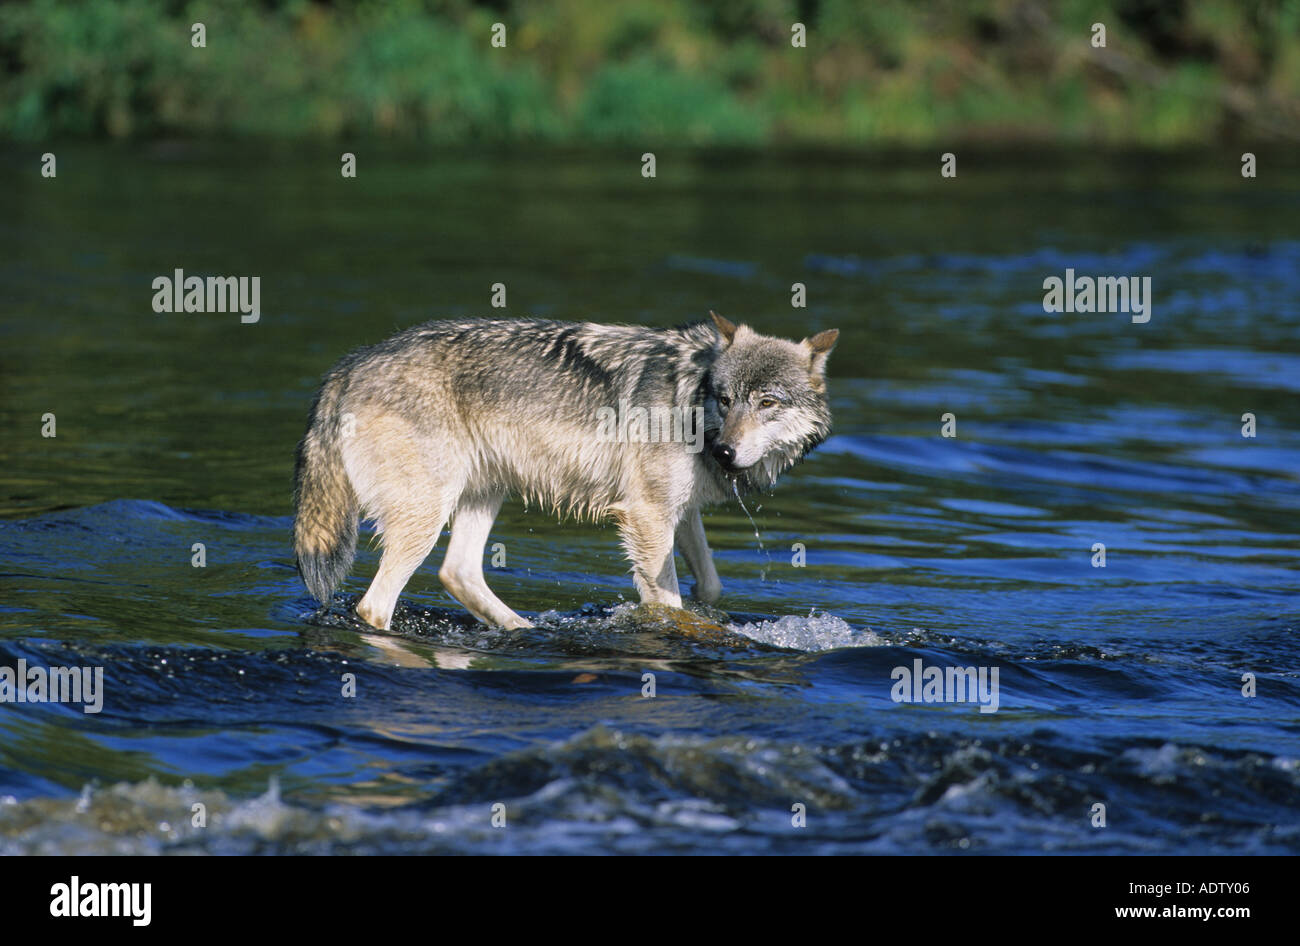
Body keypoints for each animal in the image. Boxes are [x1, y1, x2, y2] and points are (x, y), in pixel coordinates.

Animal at [293, 312, 837, 630]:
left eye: (767, 402)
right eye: (725, 399)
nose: (724, 452)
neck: (690, 396)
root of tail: (349, 364)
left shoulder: (677, 512)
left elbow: (711, 585)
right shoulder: (647, 515)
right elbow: (667, 603)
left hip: (483, 495)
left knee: (457, 572)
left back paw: (524, 630)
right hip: (427, 514)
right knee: (374, 606)